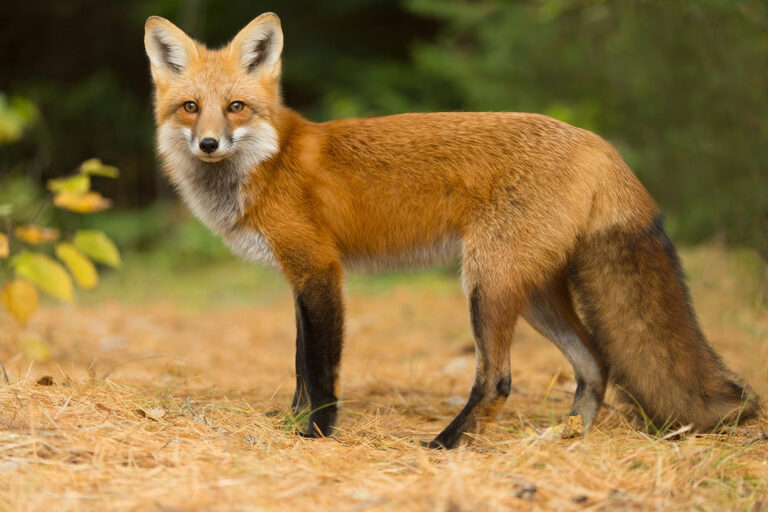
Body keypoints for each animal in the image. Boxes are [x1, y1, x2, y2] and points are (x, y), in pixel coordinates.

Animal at [143, 13, 760, 448]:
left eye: (236, 107)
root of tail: (597, 142)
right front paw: (292, 422)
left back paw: (444, 445)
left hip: (486, 284)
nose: (209, 144)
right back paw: (562, 440)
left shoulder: (320, 270)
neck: (268, 163)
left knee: (498, 379)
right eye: (191, 107)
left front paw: (314, 434)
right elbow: (299, 364)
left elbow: (319, 370)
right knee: (595, 364)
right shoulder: (300, 278)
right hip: (534, 292)